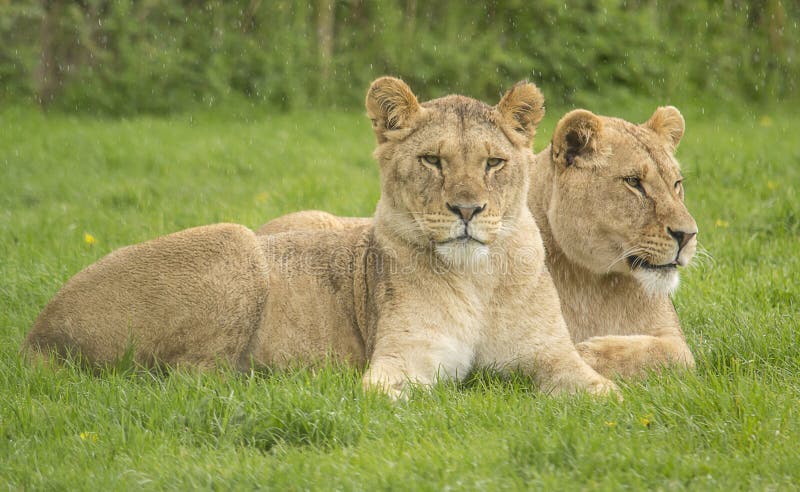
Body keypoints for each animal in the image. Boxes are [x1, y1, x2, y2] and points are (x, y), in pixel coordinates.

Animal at [23, 77, 617, 399]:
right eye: (432, 160)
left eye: (494, 163)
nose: (467, 210)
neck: (478, 275)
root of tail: (36, 331)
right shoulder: (406, 357)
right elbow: (387, 392)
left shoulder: (549, 354)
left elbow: (602, 392)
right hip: (237, 242)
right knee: (186, 379)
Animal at [257, 107, 698, 379]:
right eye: (634, 183)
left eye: (677, 184)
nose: (688, 235)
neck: (600, 282)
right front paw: (587, 353)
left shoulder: (670, 335)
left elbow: (680, 355)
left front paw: (591, 353)